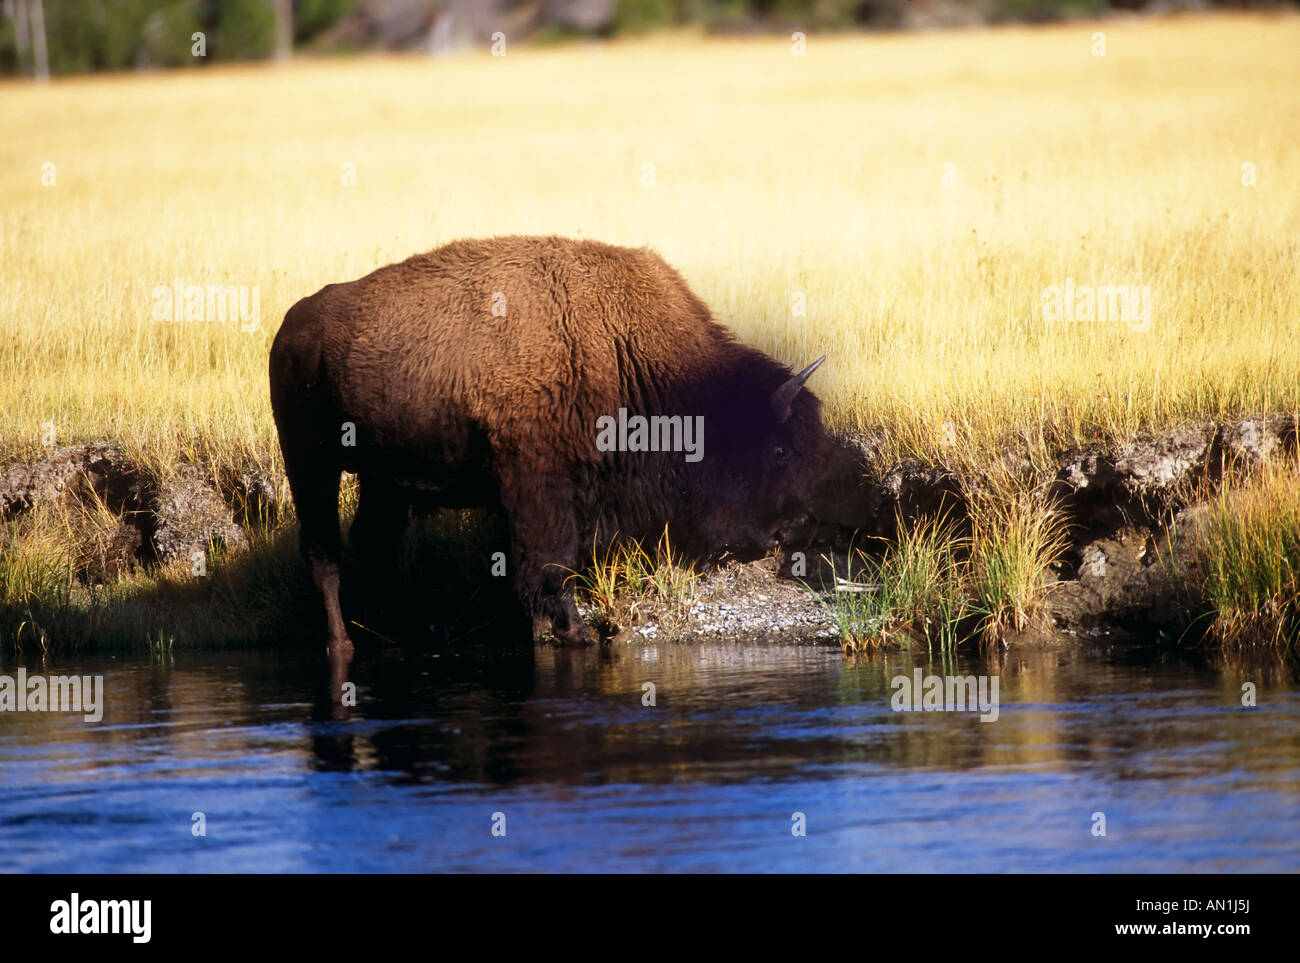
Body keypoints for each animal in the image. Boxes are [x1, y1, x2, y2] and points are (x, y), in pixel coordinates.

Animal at [269, 235, 830, 652]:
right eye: (778, 450)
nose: (789, 529)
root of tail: (290, 326)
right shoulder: (538, 487)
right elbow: (550, 562)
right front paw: (575, 631)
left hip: (383, 476)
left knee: (374, 542)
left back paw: (402, 628)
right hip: (309, 461)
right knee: (323, 552)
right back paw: (342, 643)